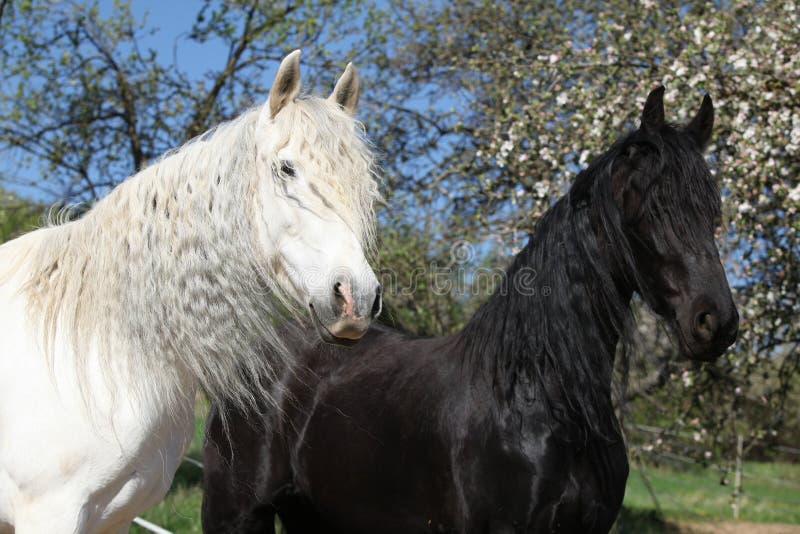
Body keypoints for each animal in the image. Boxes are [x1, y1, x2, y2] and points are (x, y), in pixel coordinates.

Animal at [0, 50, 383, 533]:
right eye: (286, 168)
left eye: (362, 183)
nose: (355, 298)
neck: (96, 342)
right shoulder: (51, 512)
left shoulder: (113, 516)